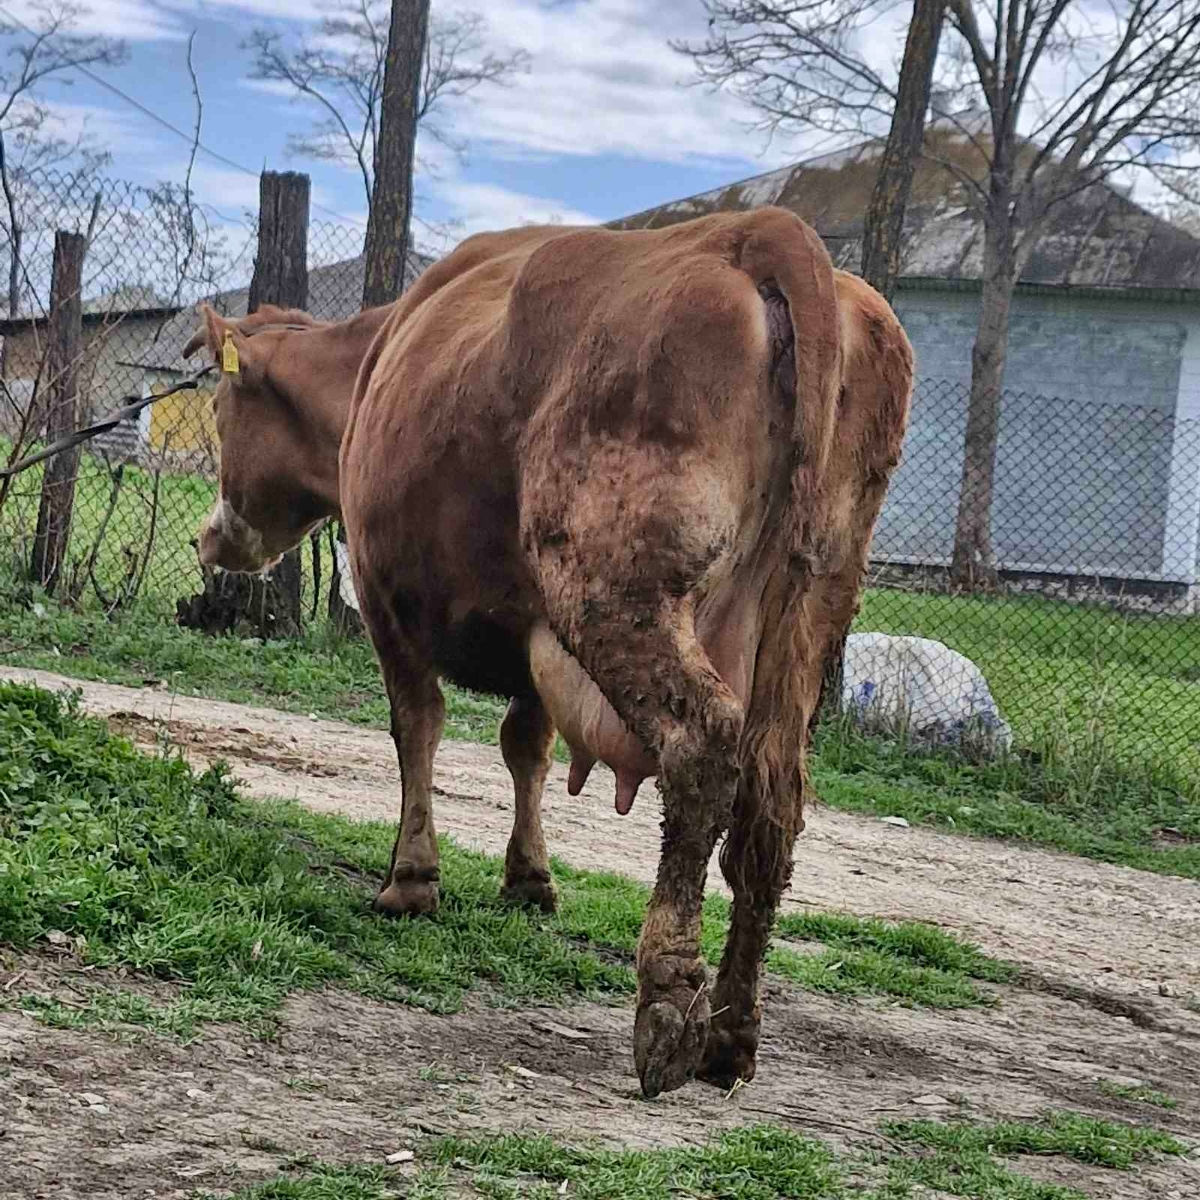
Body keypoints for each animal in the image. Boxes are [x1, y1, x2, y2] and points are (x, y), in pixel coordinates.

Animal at [192, 209, 913, 1098]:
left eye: (221, 407)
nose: (210, 538)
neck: (376, 359)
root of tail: (753, 231)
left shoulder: (385, 595)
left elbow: (417, 726)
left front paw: (411, 879)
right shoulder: (535, 632)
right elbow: (525, 746)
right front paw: (529, 878)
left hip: (612, 584)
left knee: (702, 745)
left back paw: (669, 1007)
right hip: (807, 614)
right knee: (770, 803)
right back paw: (731, 1032)